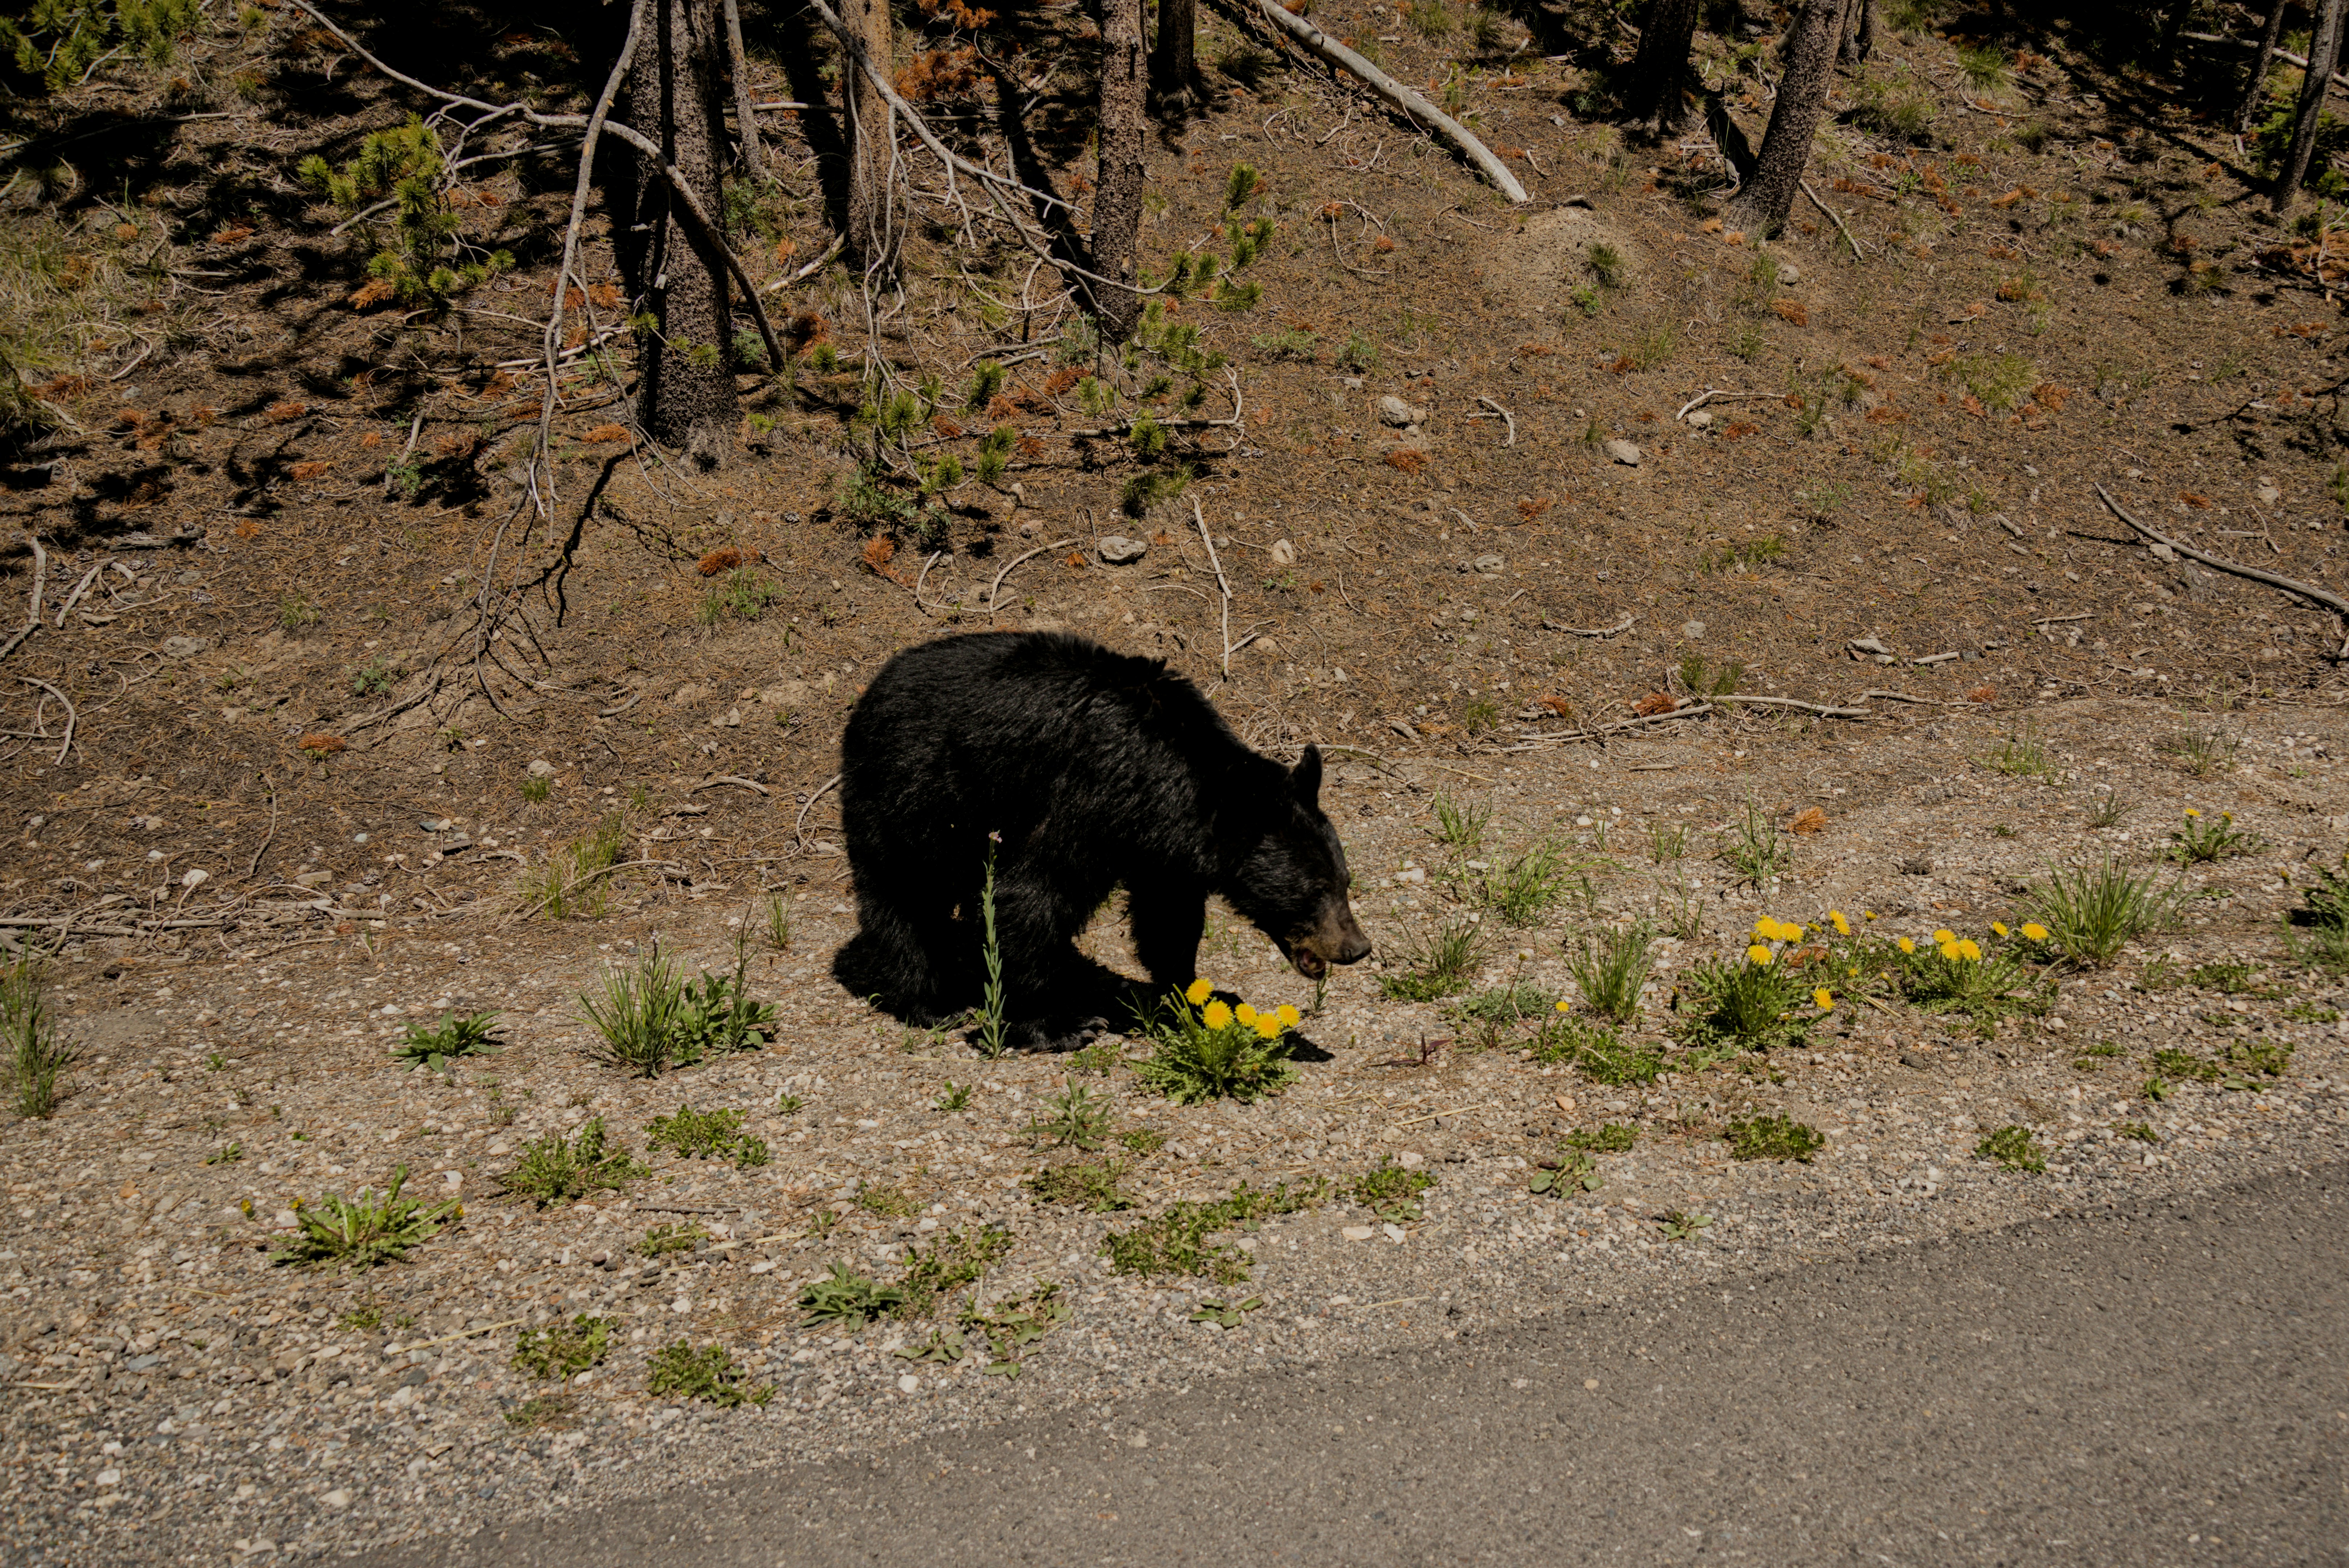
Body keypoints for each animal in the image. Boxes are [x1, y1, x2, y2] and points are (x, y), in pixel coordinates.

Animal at [830, 630, 1371, 1049]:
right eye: (1315, 890)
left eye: (1344, 882)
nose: (1356, 947)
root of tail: (871, 689)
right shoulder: (1087, 796)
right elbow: (1031, 897)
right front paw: (1058, 1025)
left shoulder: (1160, 848)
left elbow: (1168, 917)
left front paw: (1198, 994)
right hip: (911, 791)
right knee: (902, 892)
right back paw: (930, 1001)